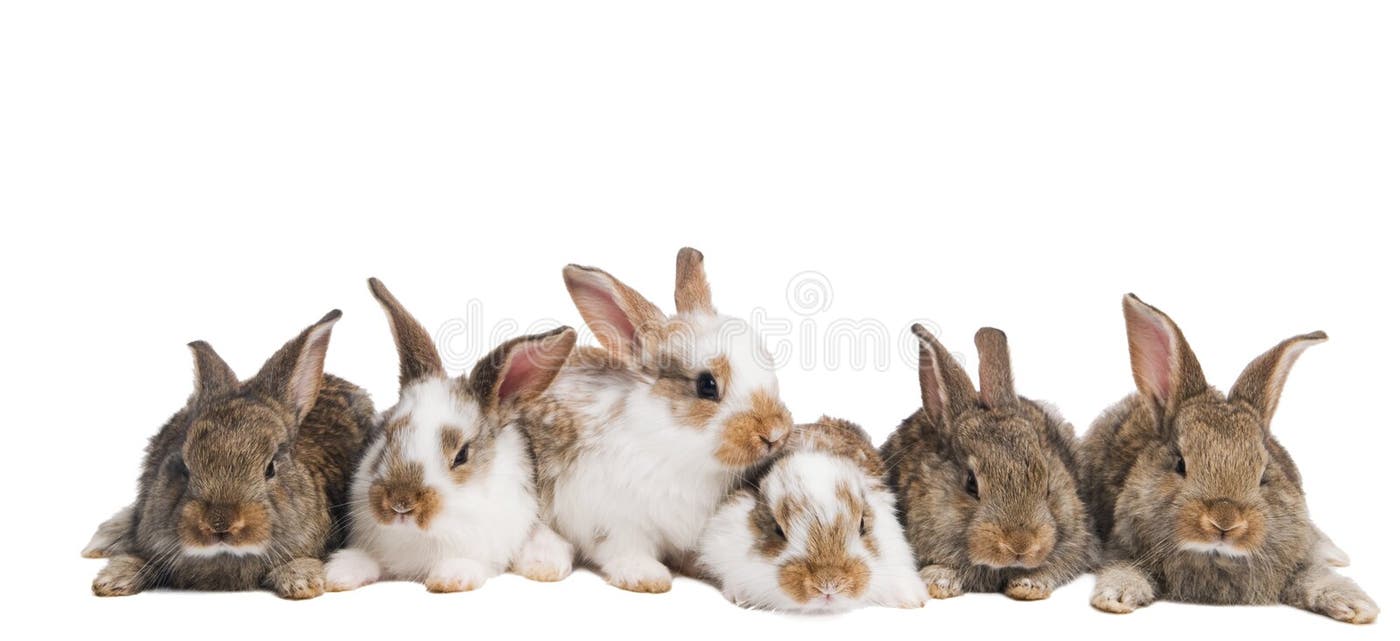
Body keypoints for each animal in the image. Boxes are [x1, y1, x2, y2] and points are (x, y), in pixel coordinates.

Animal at [516, 247, 795, 593]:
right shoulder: (616, 520)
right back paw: (546, 563)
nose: (775, 433)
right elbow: (624, 549)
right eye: (707, 385)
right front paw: (647, 577)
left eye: (766, 359)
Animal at [1080, 294, 1379, 624]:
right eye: (1180, 464)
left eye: (1264, 474)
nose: (1225, 521)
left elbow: (1314, 575)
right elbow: (1123, 570)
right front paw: (1116, 597)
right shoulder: (1121, 549)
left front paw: (1356, 605)